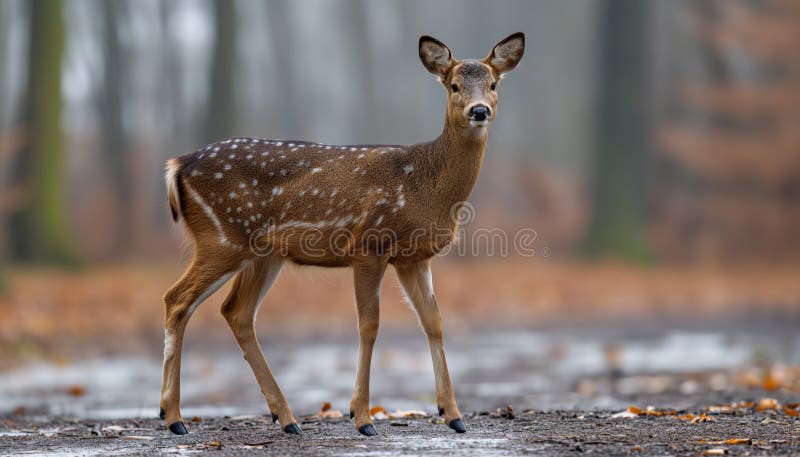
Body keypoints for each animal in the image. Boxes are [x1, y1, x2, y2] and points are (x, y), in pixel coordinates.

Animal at [160, 32, 524, 437]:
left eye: (493, 84)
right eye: (454, 85)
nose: (479, 111)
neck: (426, 186)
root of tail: (177, 165)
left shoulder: (413, 257)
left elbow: (434, 321)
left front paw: (454, 415)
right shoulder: (369, 243)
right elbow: (369, 324)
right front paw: (362, 418)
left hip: (263, 253)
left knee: (236, 312)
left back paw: (287, 419)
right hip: (223, 237)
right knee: (177, 299)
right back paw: (174, 418)